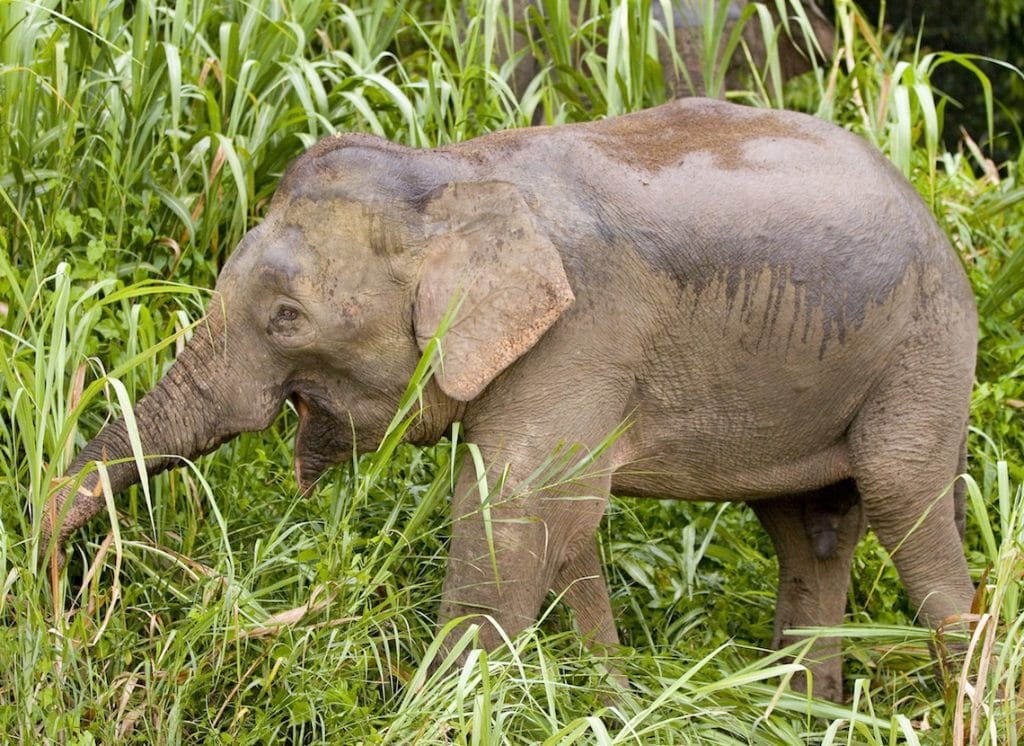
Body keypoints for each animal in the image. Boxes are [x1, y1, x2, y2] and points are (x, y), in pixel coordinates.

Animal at [42, 98, 977, 702]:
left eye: (286, 317)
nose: (61, 598)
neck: (456, 172)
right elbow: (565, 527)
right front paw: (611, 705)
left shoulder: (583, 334)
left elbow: (514, 515)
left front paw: (435, 716)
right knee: (810, 531)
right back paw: (800, 711)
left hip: (928, 347)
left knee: (902, 497)